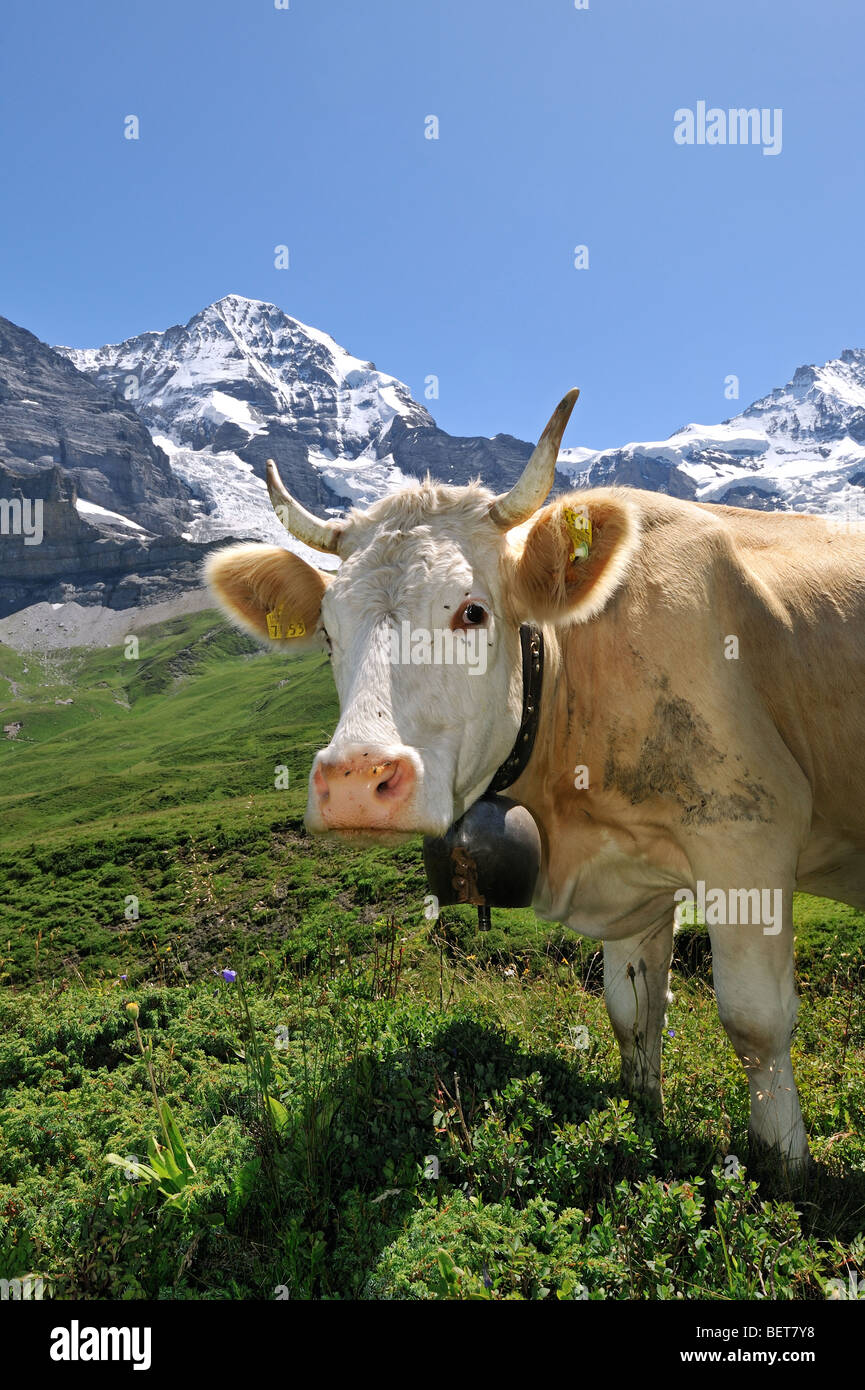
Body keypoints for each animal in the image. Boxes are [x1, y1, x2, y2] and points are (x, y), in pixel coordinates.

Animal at [206, 390, 865, 1173]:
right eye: (328, 634)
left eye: (472, 611)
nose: (355, 780)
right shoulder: (635, 881)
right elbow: (632, 1010)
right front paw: (643, 1117)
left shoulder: (748, 834)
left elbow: (755, 1022)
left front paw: (784, 1168)